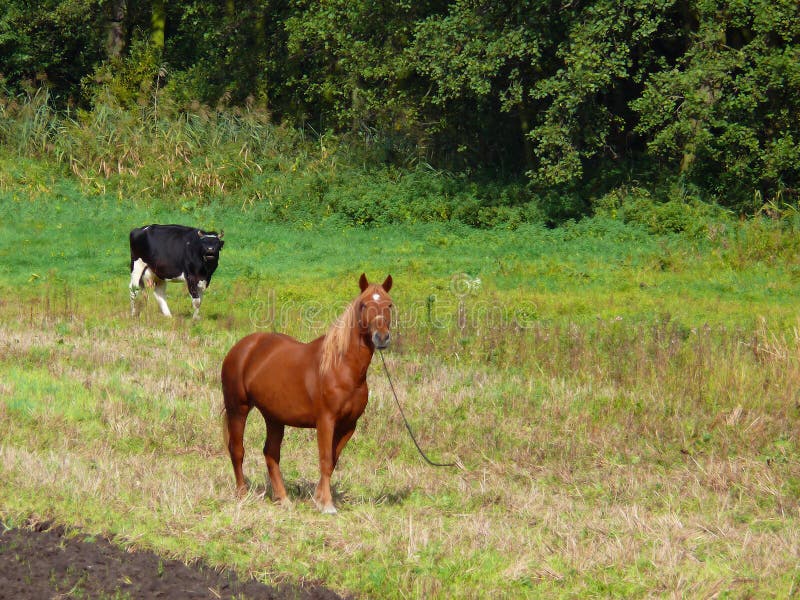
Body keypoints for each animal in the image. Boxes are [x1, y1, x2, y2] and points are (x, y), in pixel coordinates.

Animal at [221, 273, 393, 514]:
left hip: (274, 417)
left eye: (390, 305)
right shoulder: (326, 421)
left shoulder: (348, 425)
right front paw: (327, 504)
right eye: (364, 305)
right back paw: (243, 495)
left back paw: (283, 499)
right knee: (237, 450)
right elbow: (325, 460)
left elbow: (333, 460)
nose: (382, 337)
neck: (341, 367)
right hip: (238, 408)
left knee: (271, 453)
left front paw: (319, 498)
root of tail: (242, 348)